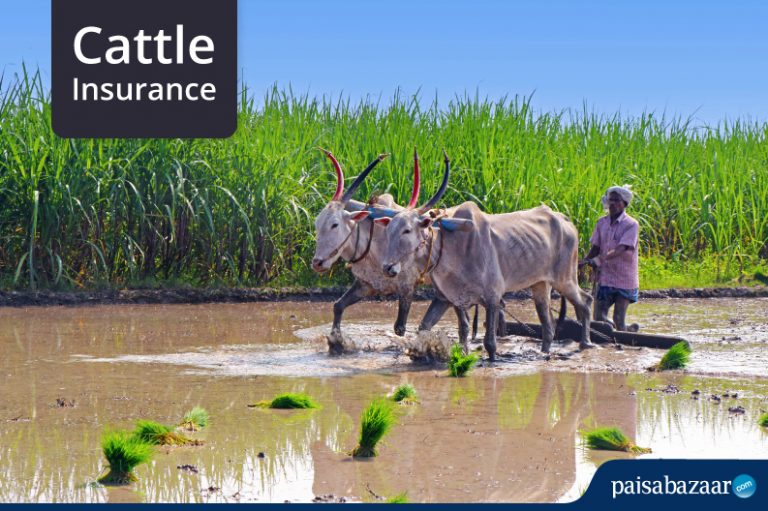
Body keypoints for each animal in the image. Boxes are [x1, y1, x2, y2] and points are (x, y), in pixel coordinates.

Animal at [311, 149, 469, 354]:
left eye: (334, 224)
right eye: (317, 223)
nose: (317, 263)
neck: (375, 240)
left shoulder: (407, 287)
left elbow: (399, 328)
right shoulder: (365, 284)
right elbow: (338, 306)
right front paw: (336, 343)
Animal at [376, 159, 595, 361]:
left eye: (407, 230)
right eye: (389, 229)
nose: (387, 267)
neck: (450, 244)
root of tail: (566, 221)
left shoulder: (492, 297)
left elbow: (490, 343)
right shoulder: (450, 298)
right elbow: (452, 329)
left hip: (565, 279)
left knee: (585, 301)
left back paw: (586, 342)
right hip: (540, 285)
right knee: (548, 326)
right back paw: (545, 352)